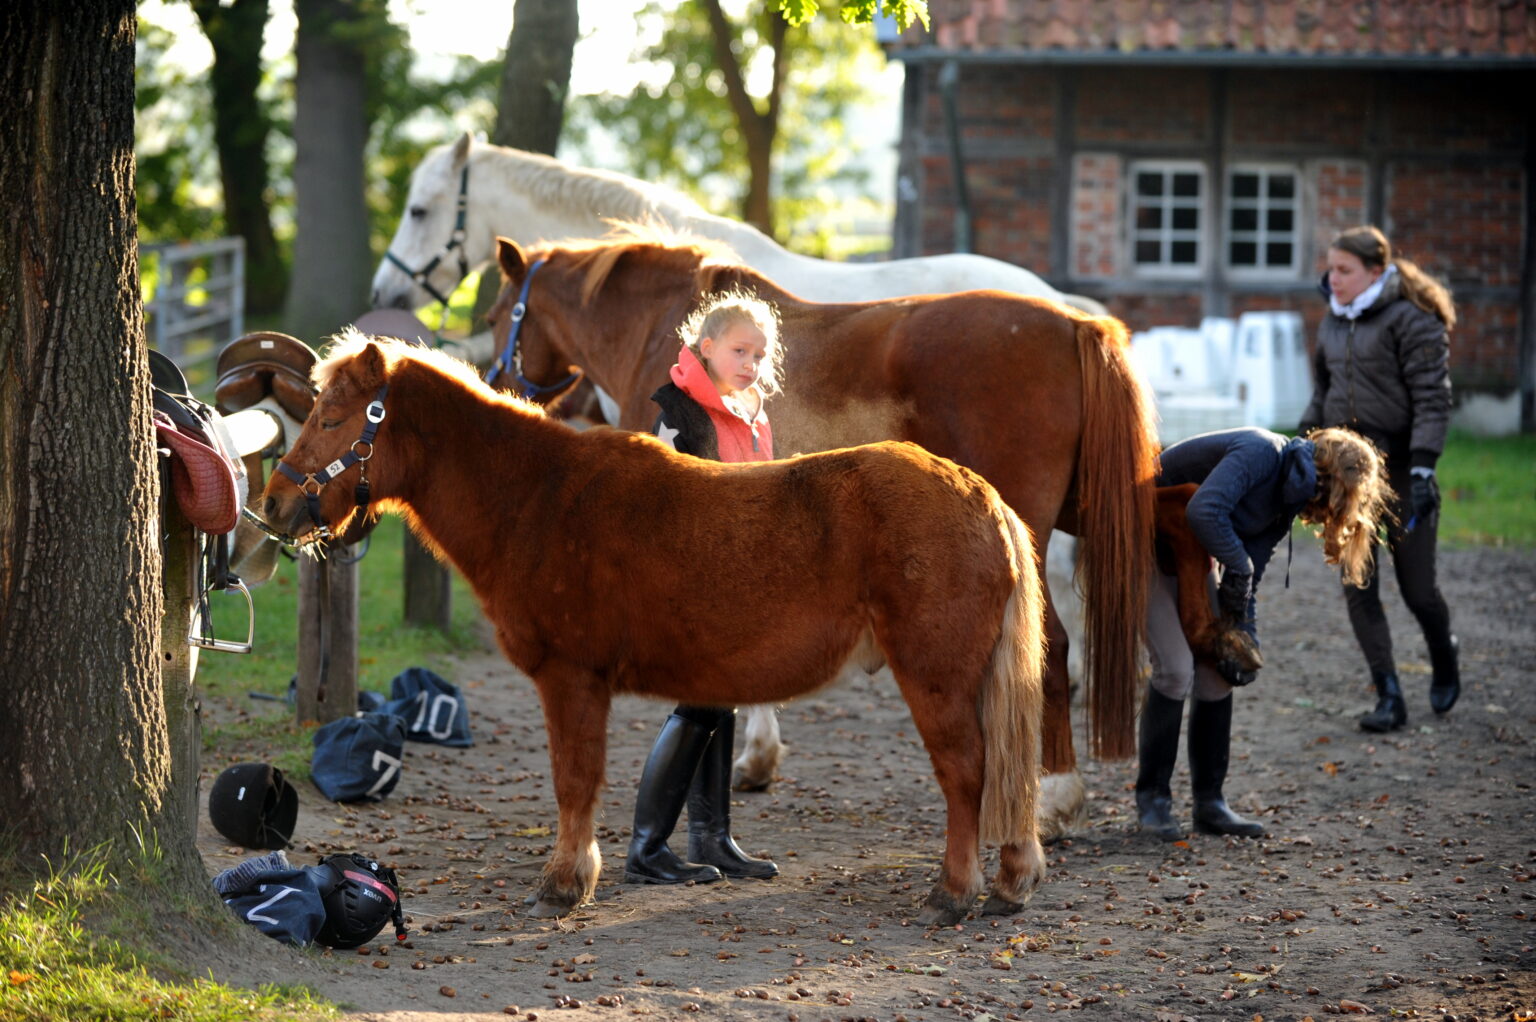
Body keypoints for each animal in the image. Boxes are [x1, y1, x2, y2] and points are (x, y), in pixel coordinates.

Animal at [261, 332, 1049, 925]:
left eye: (331, 419)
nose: (272, 505)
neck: (538, 497)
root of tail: (981, 496)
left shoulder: (571, 679)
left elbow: (575, 780)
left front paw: (564, 883)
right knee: (1010, 771)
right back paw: (1011, 881)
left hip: (936, 679)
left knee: (968, 772)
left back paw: (953, 894)